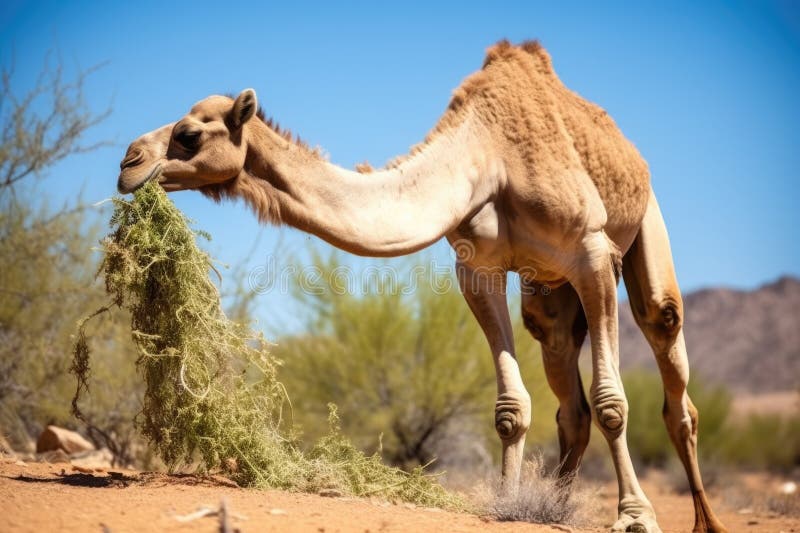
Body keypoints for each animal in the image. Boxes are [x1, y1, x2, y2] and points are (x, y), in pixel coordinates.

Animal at [117, 40, 726, 533]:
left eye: (189, 134)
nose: (128, 161)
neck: (490, 154)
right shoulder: (477, 268)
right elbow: (512, 407)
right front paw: (508, 505)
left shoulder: (593, 254)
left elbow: (612, 402)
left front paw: (635, 516)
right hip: (549, 293)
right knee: (562, 377)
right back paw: (557, 503)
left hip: (641, 230)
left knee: (669, 356)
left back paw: (705, 520)